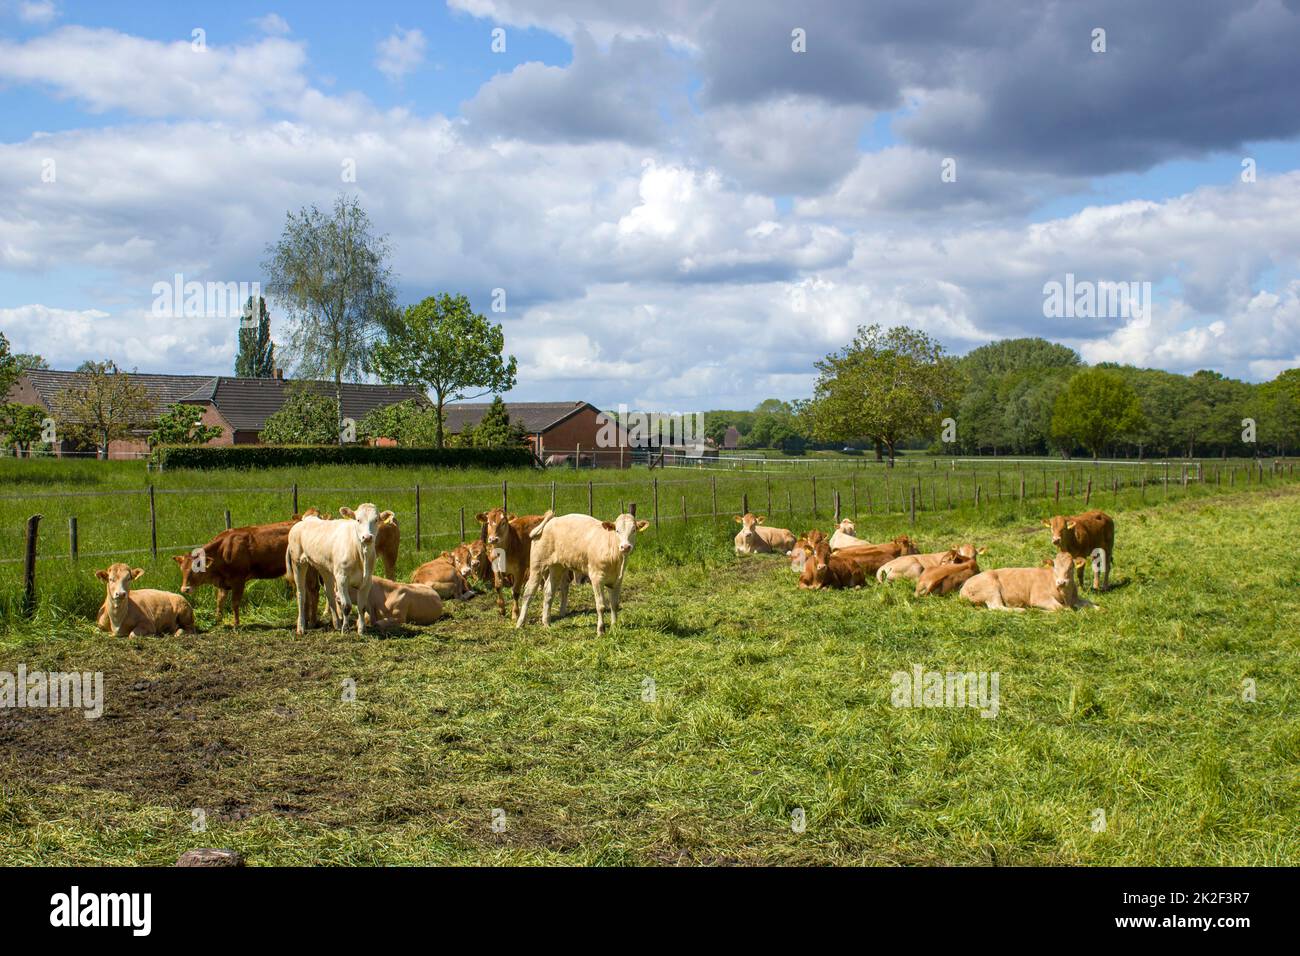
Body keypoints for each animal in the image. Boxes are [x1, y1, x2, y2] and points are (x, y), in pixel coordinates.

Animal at [286, 503, 391, 635]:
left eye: (376, 520)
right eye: (358, 520)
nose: (367, 537)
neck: (360, 553)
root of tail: (303, 521)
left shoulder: (367, 581)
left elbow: (362, 606)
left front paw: (361, 630)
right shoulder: (342, 578)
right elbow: (346, 605)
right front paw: (345, 629)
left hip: (324, 567)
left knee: (329, 593)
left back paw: (336, 623)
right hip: (298, 563)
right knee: (301, 594)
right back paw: (301, 627)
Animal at [515, 511, 650, 635]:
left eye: (634, 530)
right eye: (617, 530)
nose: (625, 547)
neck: (615, 557)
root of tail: (551, 521)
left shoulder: (617, 580)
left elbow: (614, 604)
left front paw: (614, 627)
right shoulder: (596, 578)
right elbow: (601, 605)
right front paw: (601, 630)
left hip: (557, 567)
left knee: (549, 592)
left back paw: (546, 623)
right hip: (537, 564)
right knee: (528, 592)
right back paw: (520, 623)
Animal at [959, 551, 1095, 612]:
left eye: (1071, 568)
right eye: (1055, 567)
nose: (1061, 582)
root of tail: (963, 588)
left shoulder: (1076, 599)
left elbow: (1093, 605)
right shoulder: (1039, 597)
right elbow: (1060, 608)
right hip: (990, 588)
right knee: (996, 607)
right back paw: (1021, 610)